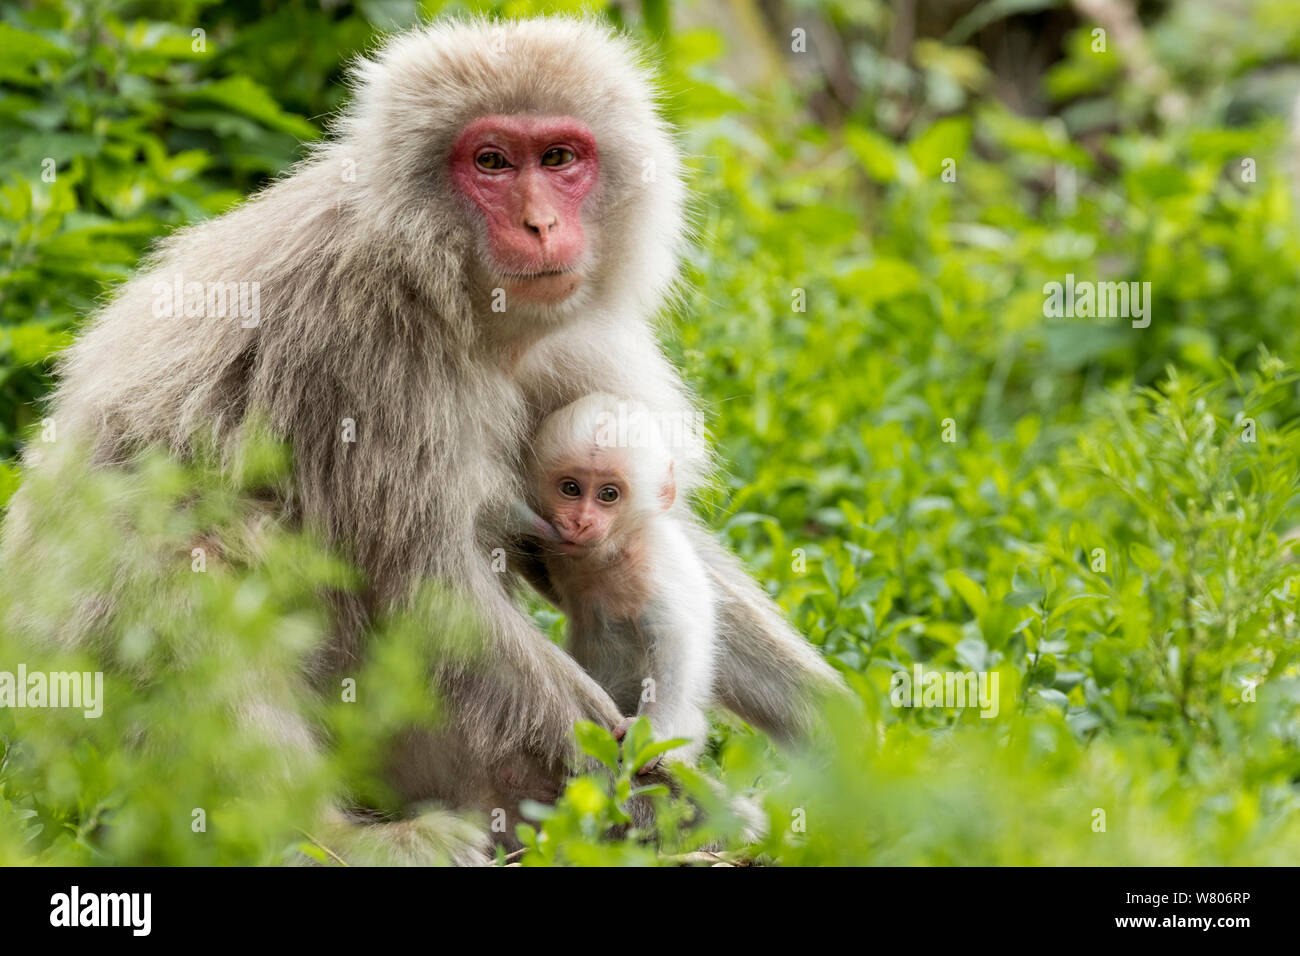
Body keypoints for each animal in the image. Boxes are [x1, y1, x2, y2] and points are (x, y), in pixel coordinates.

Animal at [527, 393, 716, 773]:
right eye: (571, 489)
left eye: (609, 495)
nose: (581, 522)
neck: (613, 551)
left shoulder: (651, 566)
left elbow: (674, 641)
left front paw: (652, 733)